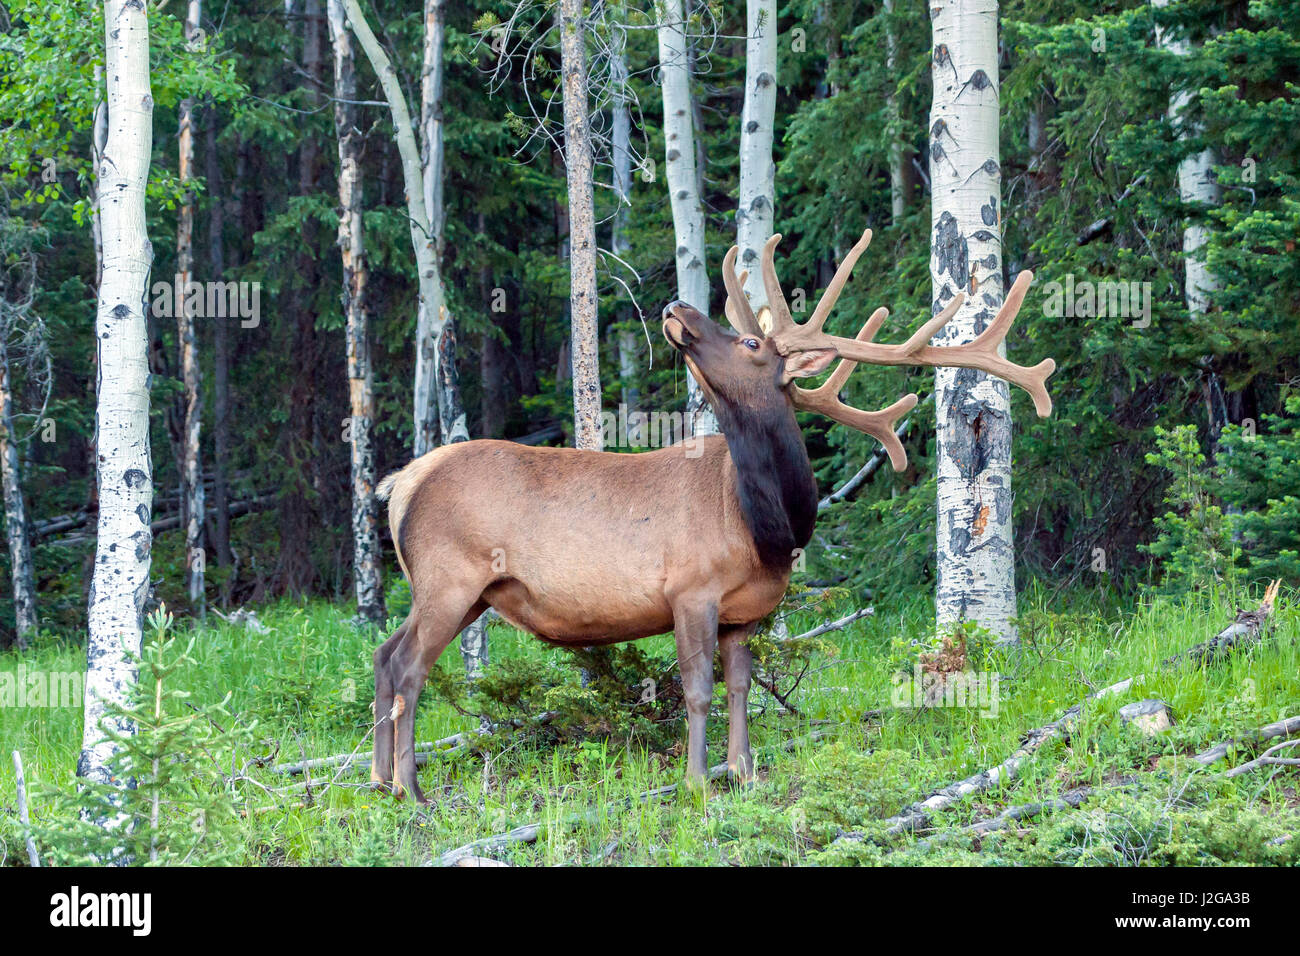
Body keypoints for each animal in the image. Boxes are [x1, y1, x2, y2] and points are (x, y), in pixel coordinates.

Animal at [371, 228, 1055, 803]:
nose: (677, 305)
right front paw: (699, 780)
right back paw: (412, 788)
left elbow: (741, 688)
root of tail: (402, 484)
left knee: (383, 653)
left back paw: (378, 781)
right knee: (409, 668)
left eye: (750, 341)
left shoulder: (744, 612)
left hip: (459, 590)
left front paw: (744, 772)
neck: (770, 528)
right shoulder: (689, 589)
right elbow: (697, 689)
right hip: (452, 577)